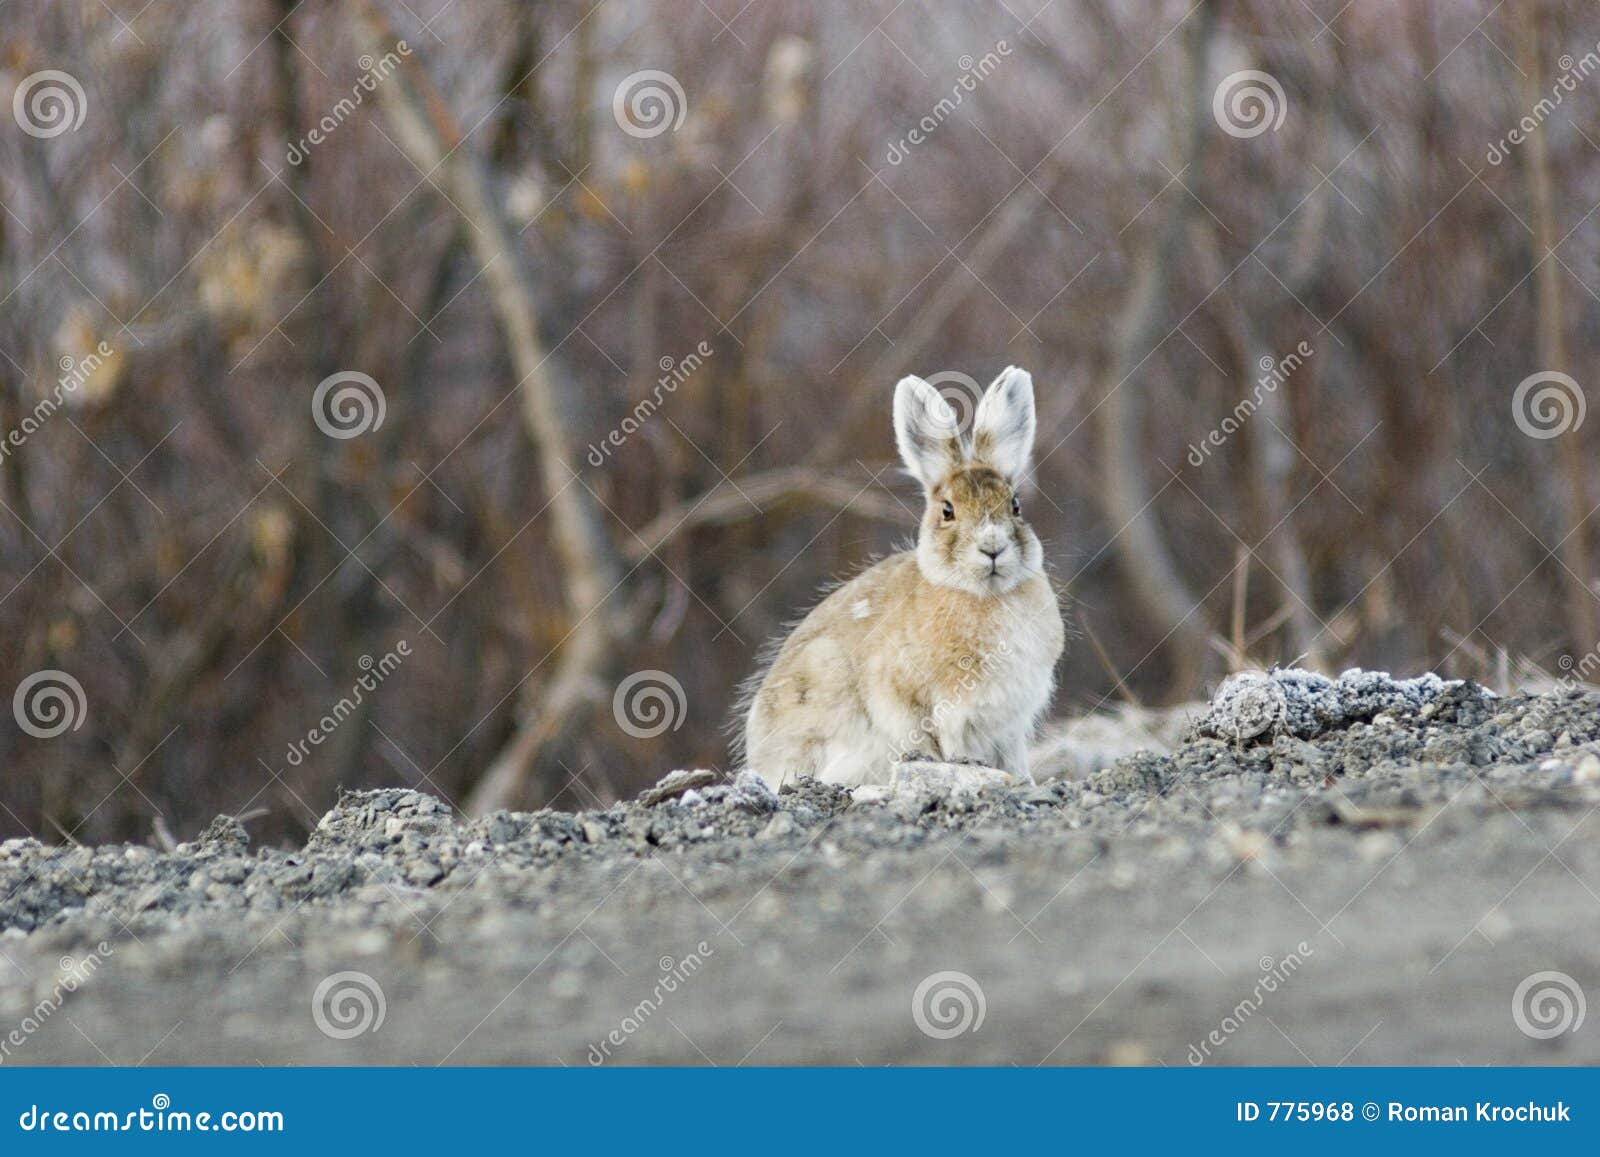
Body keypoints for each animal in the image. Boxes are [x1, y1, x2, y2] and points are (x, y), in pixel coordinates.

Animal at [741, 366, 1065, 788]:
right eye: (947, 511)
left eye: (1015, 505)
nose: (992, 547)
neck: (986, 594)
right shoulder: (931, 701)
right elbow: (945, 739)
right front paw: (965, 767)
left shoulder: (1013, 718)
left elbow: (1013, 754)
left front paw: (1023, 780)